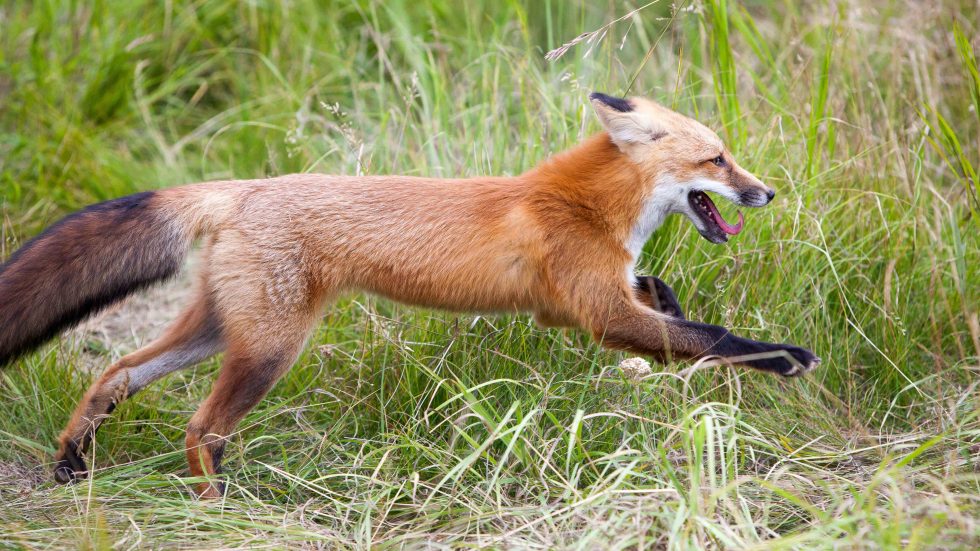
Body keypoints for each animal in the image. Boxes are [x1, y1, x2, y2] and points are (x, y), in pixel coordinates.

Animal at [0, 93, 819, 498]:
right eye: (718, 158)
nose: (768, 192)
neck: (586, 206)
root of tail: (247, 187)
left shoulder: (576, 301)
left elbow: (664, 298)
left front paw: (676, 304)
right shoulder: (598, 313)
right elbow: (710, 337)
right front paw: (783, 357)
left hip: (221, 328)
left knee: (117, 372)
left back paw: (72, 462)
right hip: (270, 346)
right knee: (201, 428)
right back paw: (218, 508)